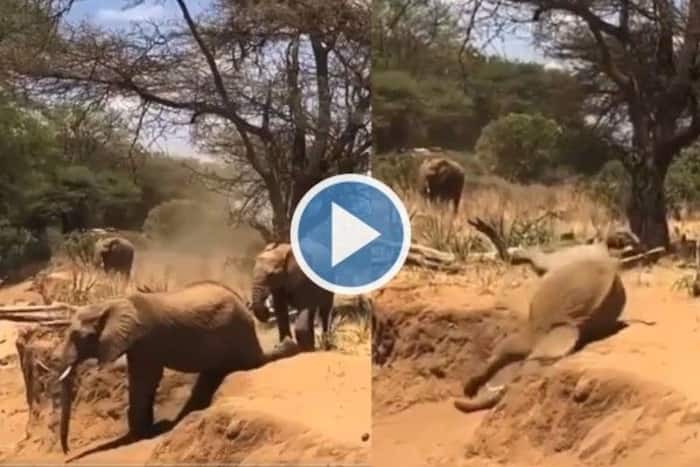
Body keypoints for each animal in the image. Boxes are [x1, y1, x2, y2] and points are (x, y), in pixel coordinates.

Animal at [56, 280, 299, 454]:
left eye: (79, 337)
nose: (67, 451)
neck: (110, 303)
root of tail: (241, 301)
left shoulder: (146, 339)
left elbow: (146, 379)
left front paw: (140, 434)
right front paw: (147, 430)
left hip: (236, 330)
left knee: (249, 363)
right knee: (212, 374)